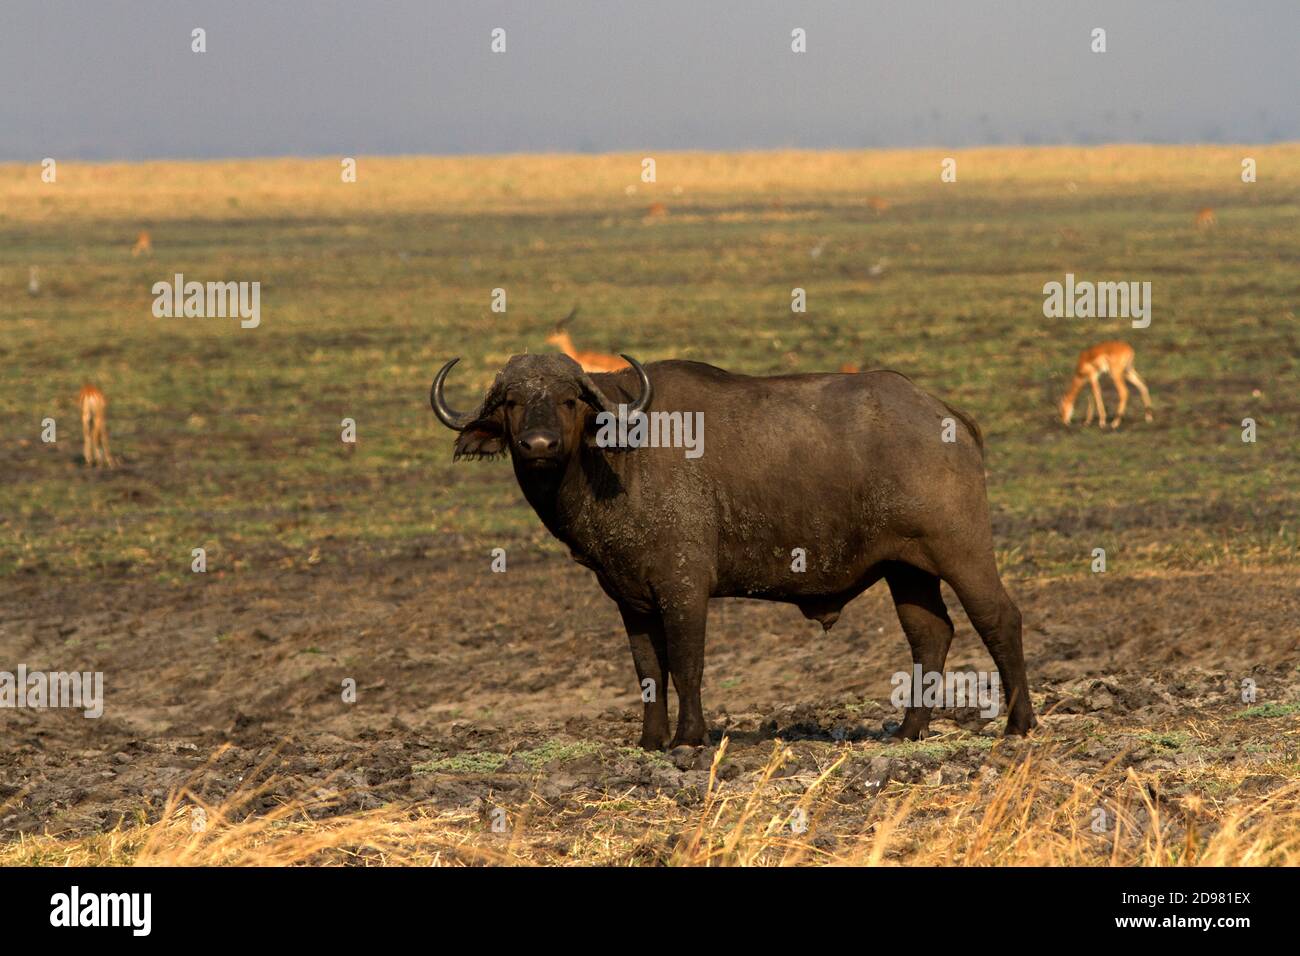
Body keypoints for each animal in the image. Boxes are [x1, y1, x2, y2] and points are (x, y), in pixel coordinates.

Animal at [431, 353, 1035, 749]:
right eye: (512, 402)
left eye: (567, 399)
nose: (538, 445)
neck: (618, 455)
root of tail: (945, 415)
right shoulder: (629, 598)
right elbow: (647, 669)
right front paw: (651, 740)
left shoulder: (683, 588)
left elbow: (686, 664)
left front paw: (689, 738)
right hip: (906, 568)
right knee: (930, 634)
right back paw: (908, 731)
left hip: (961, 551)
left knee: (998, 617)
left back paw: (1019, 723)